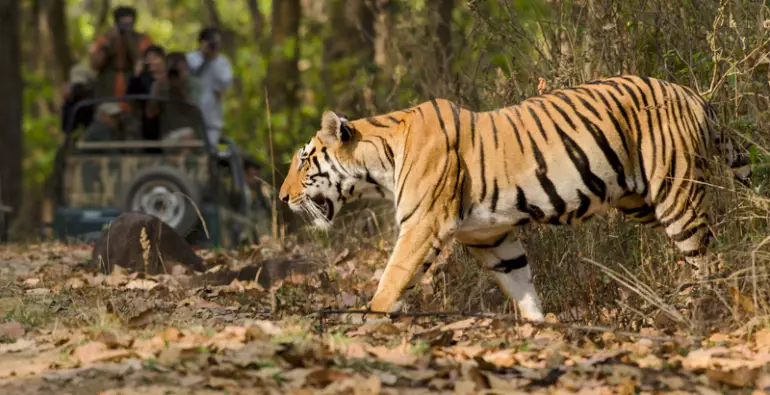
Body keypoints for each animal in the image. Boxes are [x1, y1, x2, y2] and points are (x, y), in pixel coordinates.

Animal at [276, 75, 752, 324]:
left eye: (303, 160)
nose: (281, 198)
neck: (380, 163)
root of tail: (693, 94)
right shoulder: (490, 236)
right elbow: (520, 283)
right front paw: (537, 328)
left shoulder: (422, 225)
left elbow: (392, 277)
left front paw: (369, 318)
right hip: (640, 201)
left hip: (676, 194)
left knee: (711, 256)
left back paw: (710, 308)